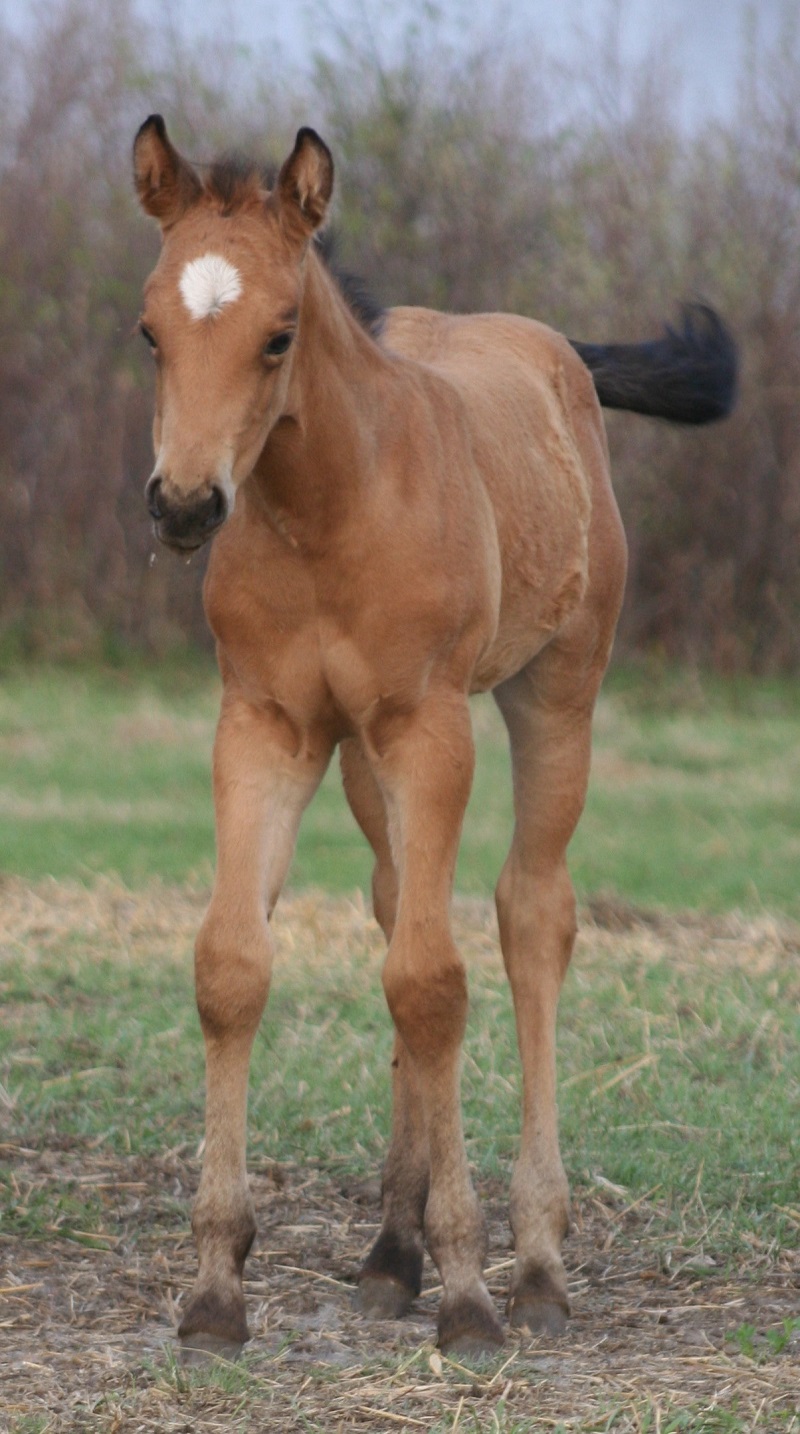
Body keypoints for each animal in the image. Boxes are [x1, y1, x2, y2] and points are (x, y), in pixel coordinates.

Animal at [133, 116, 736, 1360]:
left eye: (278, 334)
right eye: (149, 328)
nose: (183, 504)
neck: (328, 513)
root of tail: (551, 349)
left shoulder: (428, 726)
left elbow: (432, 980)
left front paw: (469, 1293)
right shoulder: (264, 725)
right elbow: (234, 964)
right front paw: (216, 1289)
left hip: (557, 690)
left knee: (528, 914)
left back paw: (537, 1262)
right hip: (363, 758)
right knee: (392, 902)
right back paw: (389, 1249)